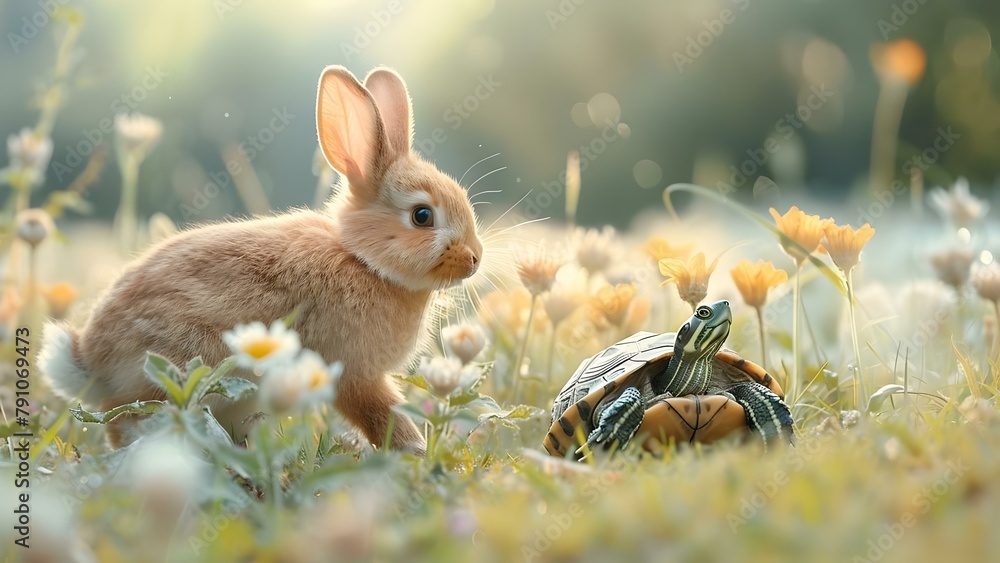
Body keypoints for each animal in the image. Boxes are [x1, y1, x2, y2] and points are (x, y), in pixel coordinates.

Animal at [37, 66, 484, 456]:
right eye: (422, 216)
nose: (475, 260)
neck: (362, 260)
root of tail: (89, 362)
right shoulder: (354, 373)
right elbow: (383, 413)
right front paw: (416, 452)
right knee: (127, 422)